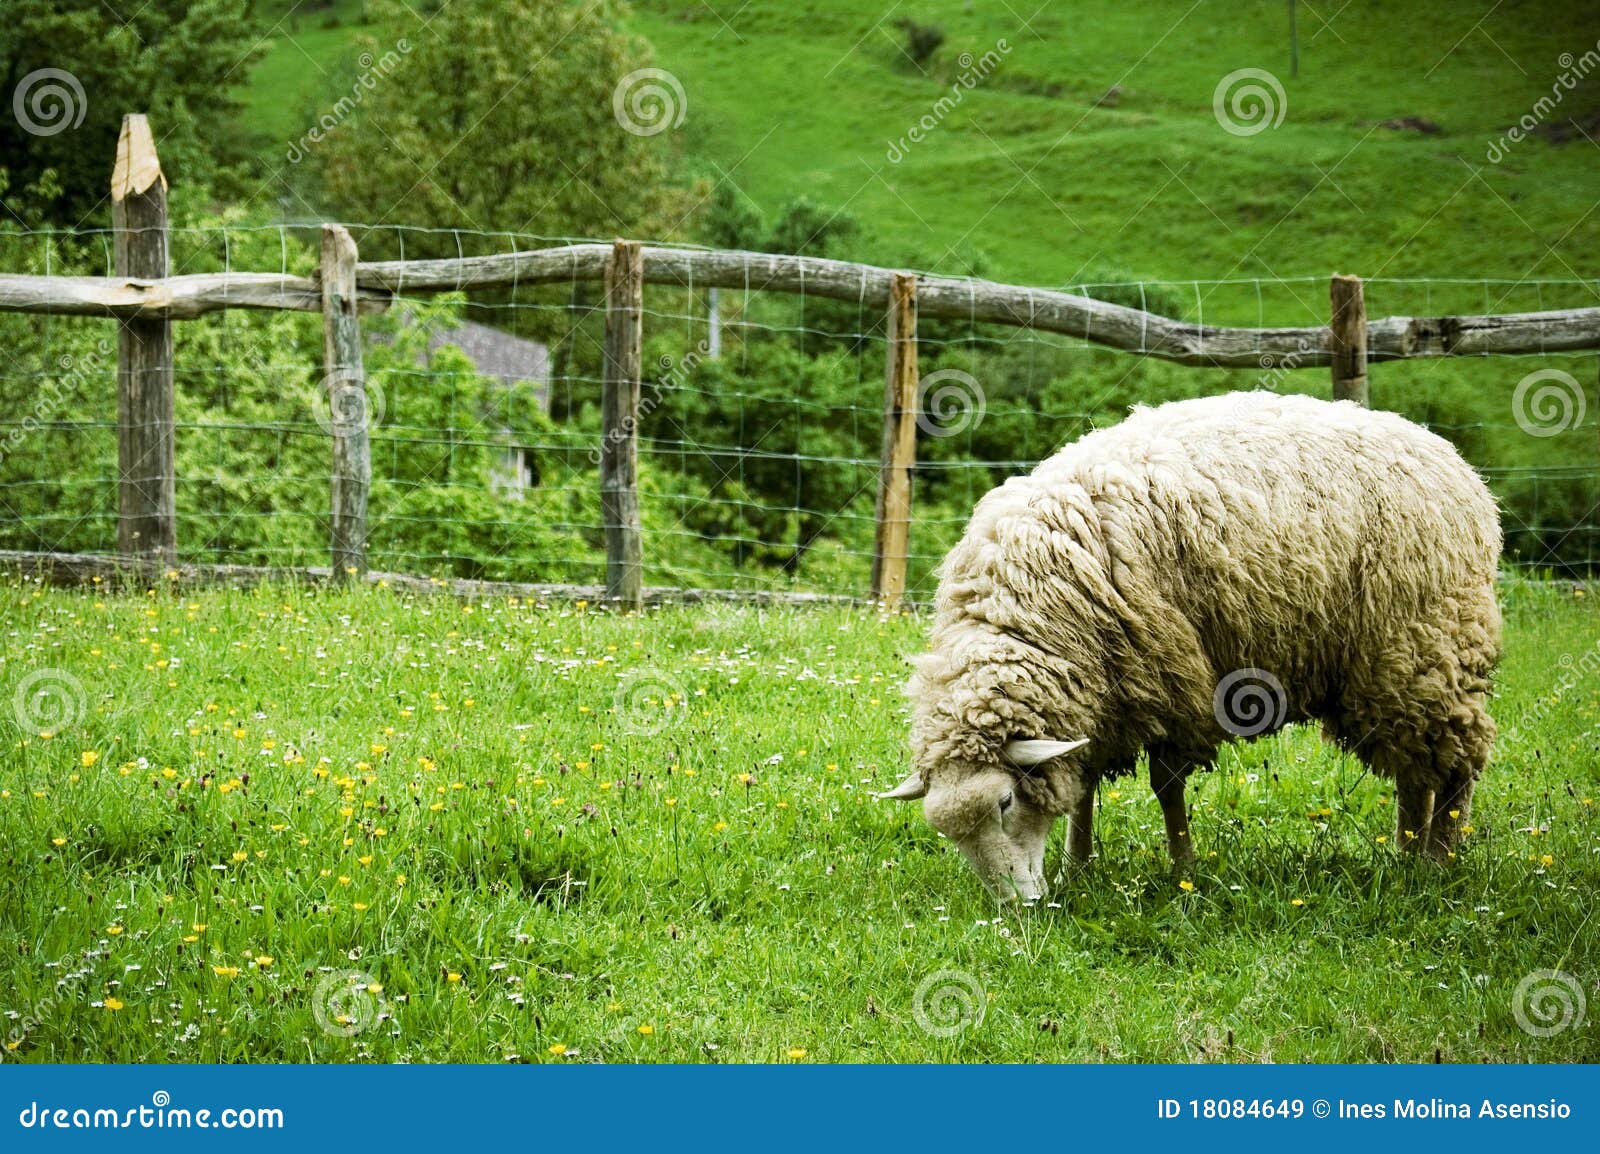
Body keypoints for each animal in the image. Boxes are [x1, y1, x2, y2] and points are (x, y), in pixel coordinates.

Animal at [879, 391, 1502, 902]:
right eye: (948, 832)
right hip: (1393, 670)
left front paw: (1183, 871)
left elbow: (1167, 786)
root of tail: (1452, 459)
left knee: (1453, 763)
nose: (1017, 908)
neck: (1029, 600)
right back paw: (1407, 856)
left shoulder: (1167, 680)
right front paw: (1079, 867)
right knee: (1416, 770)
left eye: (1005, 802)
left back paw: (1438, 864)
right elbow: (1082, 787)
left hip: (1427, 642)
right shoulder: (1102, 694)